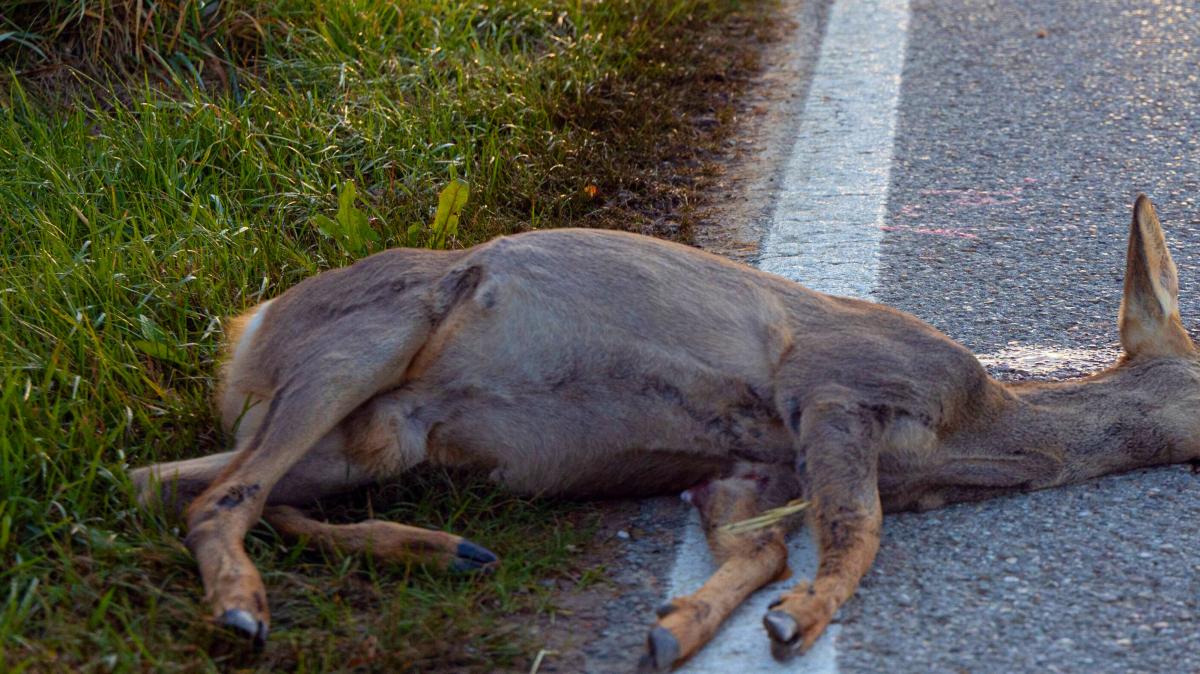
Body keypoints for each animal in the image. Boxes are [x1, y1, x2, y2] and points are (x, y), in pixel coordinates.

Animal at [131, 194, 1200, 670]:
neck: (974, 435)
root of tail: (243, 331)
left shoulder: (748, 467)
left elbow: (763, 549)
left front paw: (679, 626)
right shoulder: (833, 381)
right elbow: (857, 532)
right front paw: (797, 621)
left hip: (377, 435)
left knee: (170, 480)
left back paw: (447, 550)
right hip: (363, 339)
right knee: (220, 495)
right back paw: (245, 610)